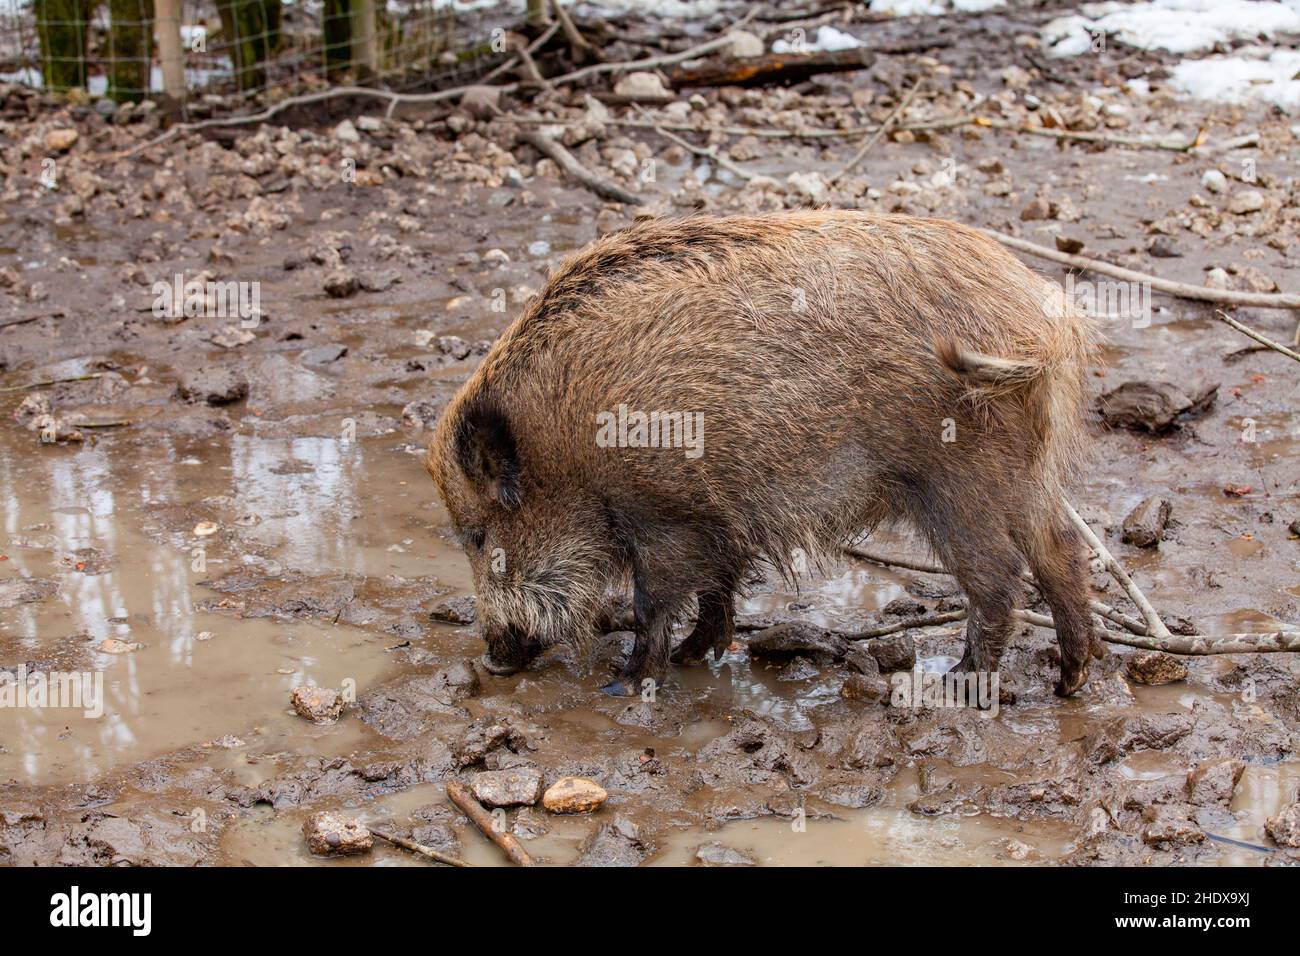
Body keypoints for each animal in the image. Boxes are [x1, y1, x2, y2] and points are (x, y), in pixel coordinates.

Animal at [426, 211, 1099, 697]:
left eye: (478, 537)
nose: (495, 658)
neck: (566, 441)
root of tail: (1043, 315)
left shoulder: (665, 517)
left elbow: (652, 603)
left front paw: (628, 684)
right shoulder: (714, 519)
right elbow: (716, 591)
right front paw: (695, 656)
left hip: (960, 479)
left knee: (1000, 578)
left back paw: (958, 682)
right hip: (1021, 470)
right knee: (1061, 550)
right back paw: (1070, 680)